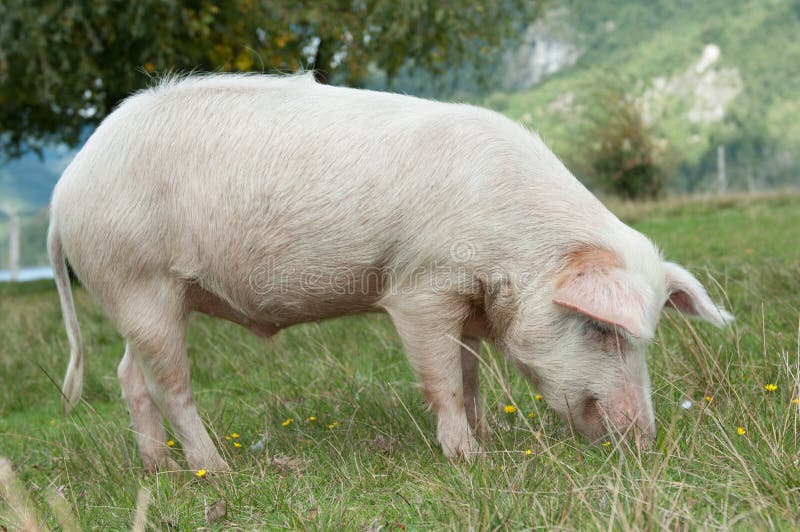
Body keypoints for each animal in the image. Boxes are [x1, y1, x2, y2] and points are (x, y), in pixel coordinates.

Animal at [48, 73, 733, 472]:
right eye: (600, 328)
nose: (645, 439)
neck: (512, 249)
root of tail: (64, 191)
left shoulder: (465, 301)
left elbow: (471, 374)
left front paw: (488, 440)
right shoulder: (420, 288)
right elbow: (443, 378)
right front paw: (468, 459)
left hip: (145, 296)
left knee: (128, 374)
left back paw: (159, 469)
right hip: (137, 279)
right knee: (171, 385)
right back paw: (216, 470)